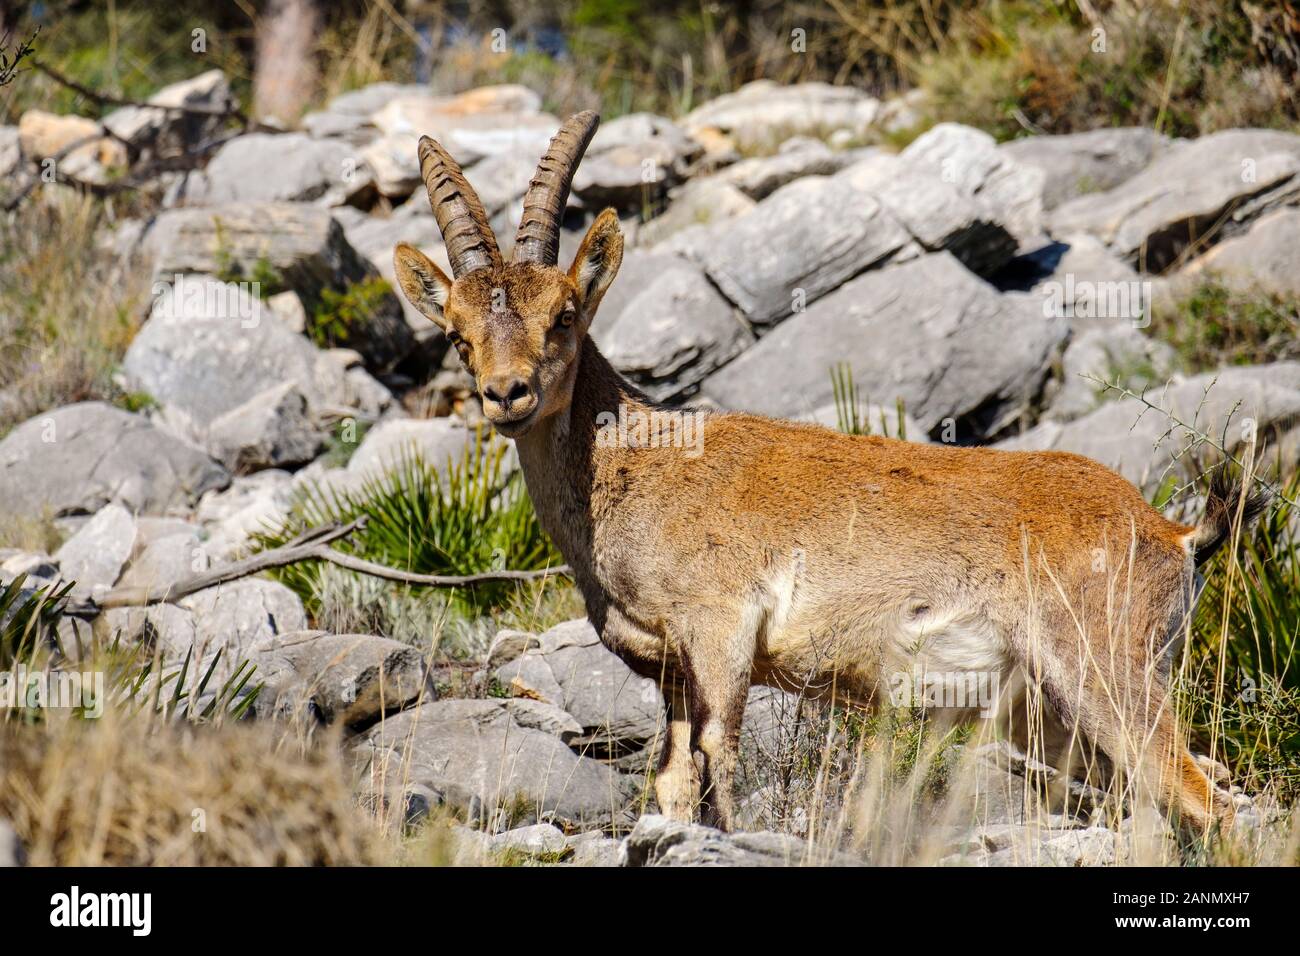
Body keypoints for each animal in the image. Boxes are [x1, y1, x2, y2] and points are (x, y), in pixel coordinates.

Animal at [393, 111, 1266, 834]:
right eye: (458, 332)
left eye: (564, 315)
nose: (507, 394)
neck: (639, 466)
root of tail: (1173, 533)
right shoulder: (667, 667)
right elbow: (672, 782)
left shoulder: (721, 631)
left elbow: (718, 762)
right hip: (1049, 714)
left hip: (1106, 669)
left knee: (1203, 796)